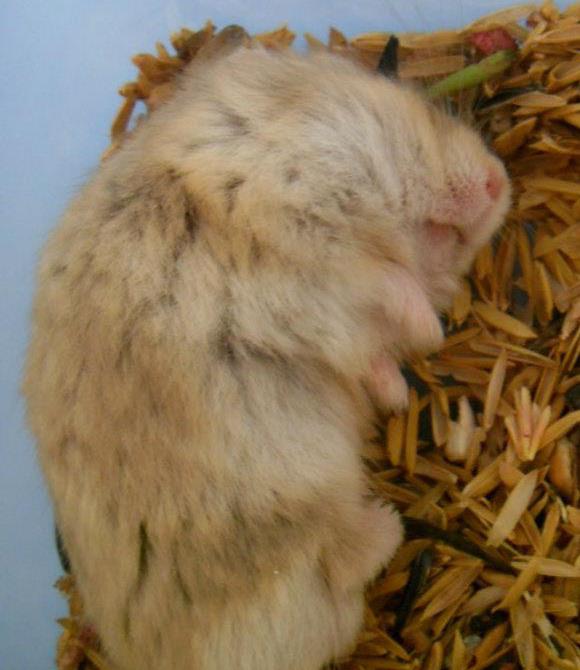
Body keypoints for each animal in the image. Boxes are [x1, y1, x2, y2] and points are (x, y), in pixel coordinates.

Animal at [23, 44, 510, 670]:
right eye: (416, 112)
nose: (502, 182)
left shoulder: (343, 315)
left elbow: (372, 350)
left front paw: (398, 392)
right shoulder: (308, 258)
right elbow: (387, 285)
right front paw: (427, 334)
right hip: (287, 514)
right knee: (341, 558)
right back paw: (387, 520)